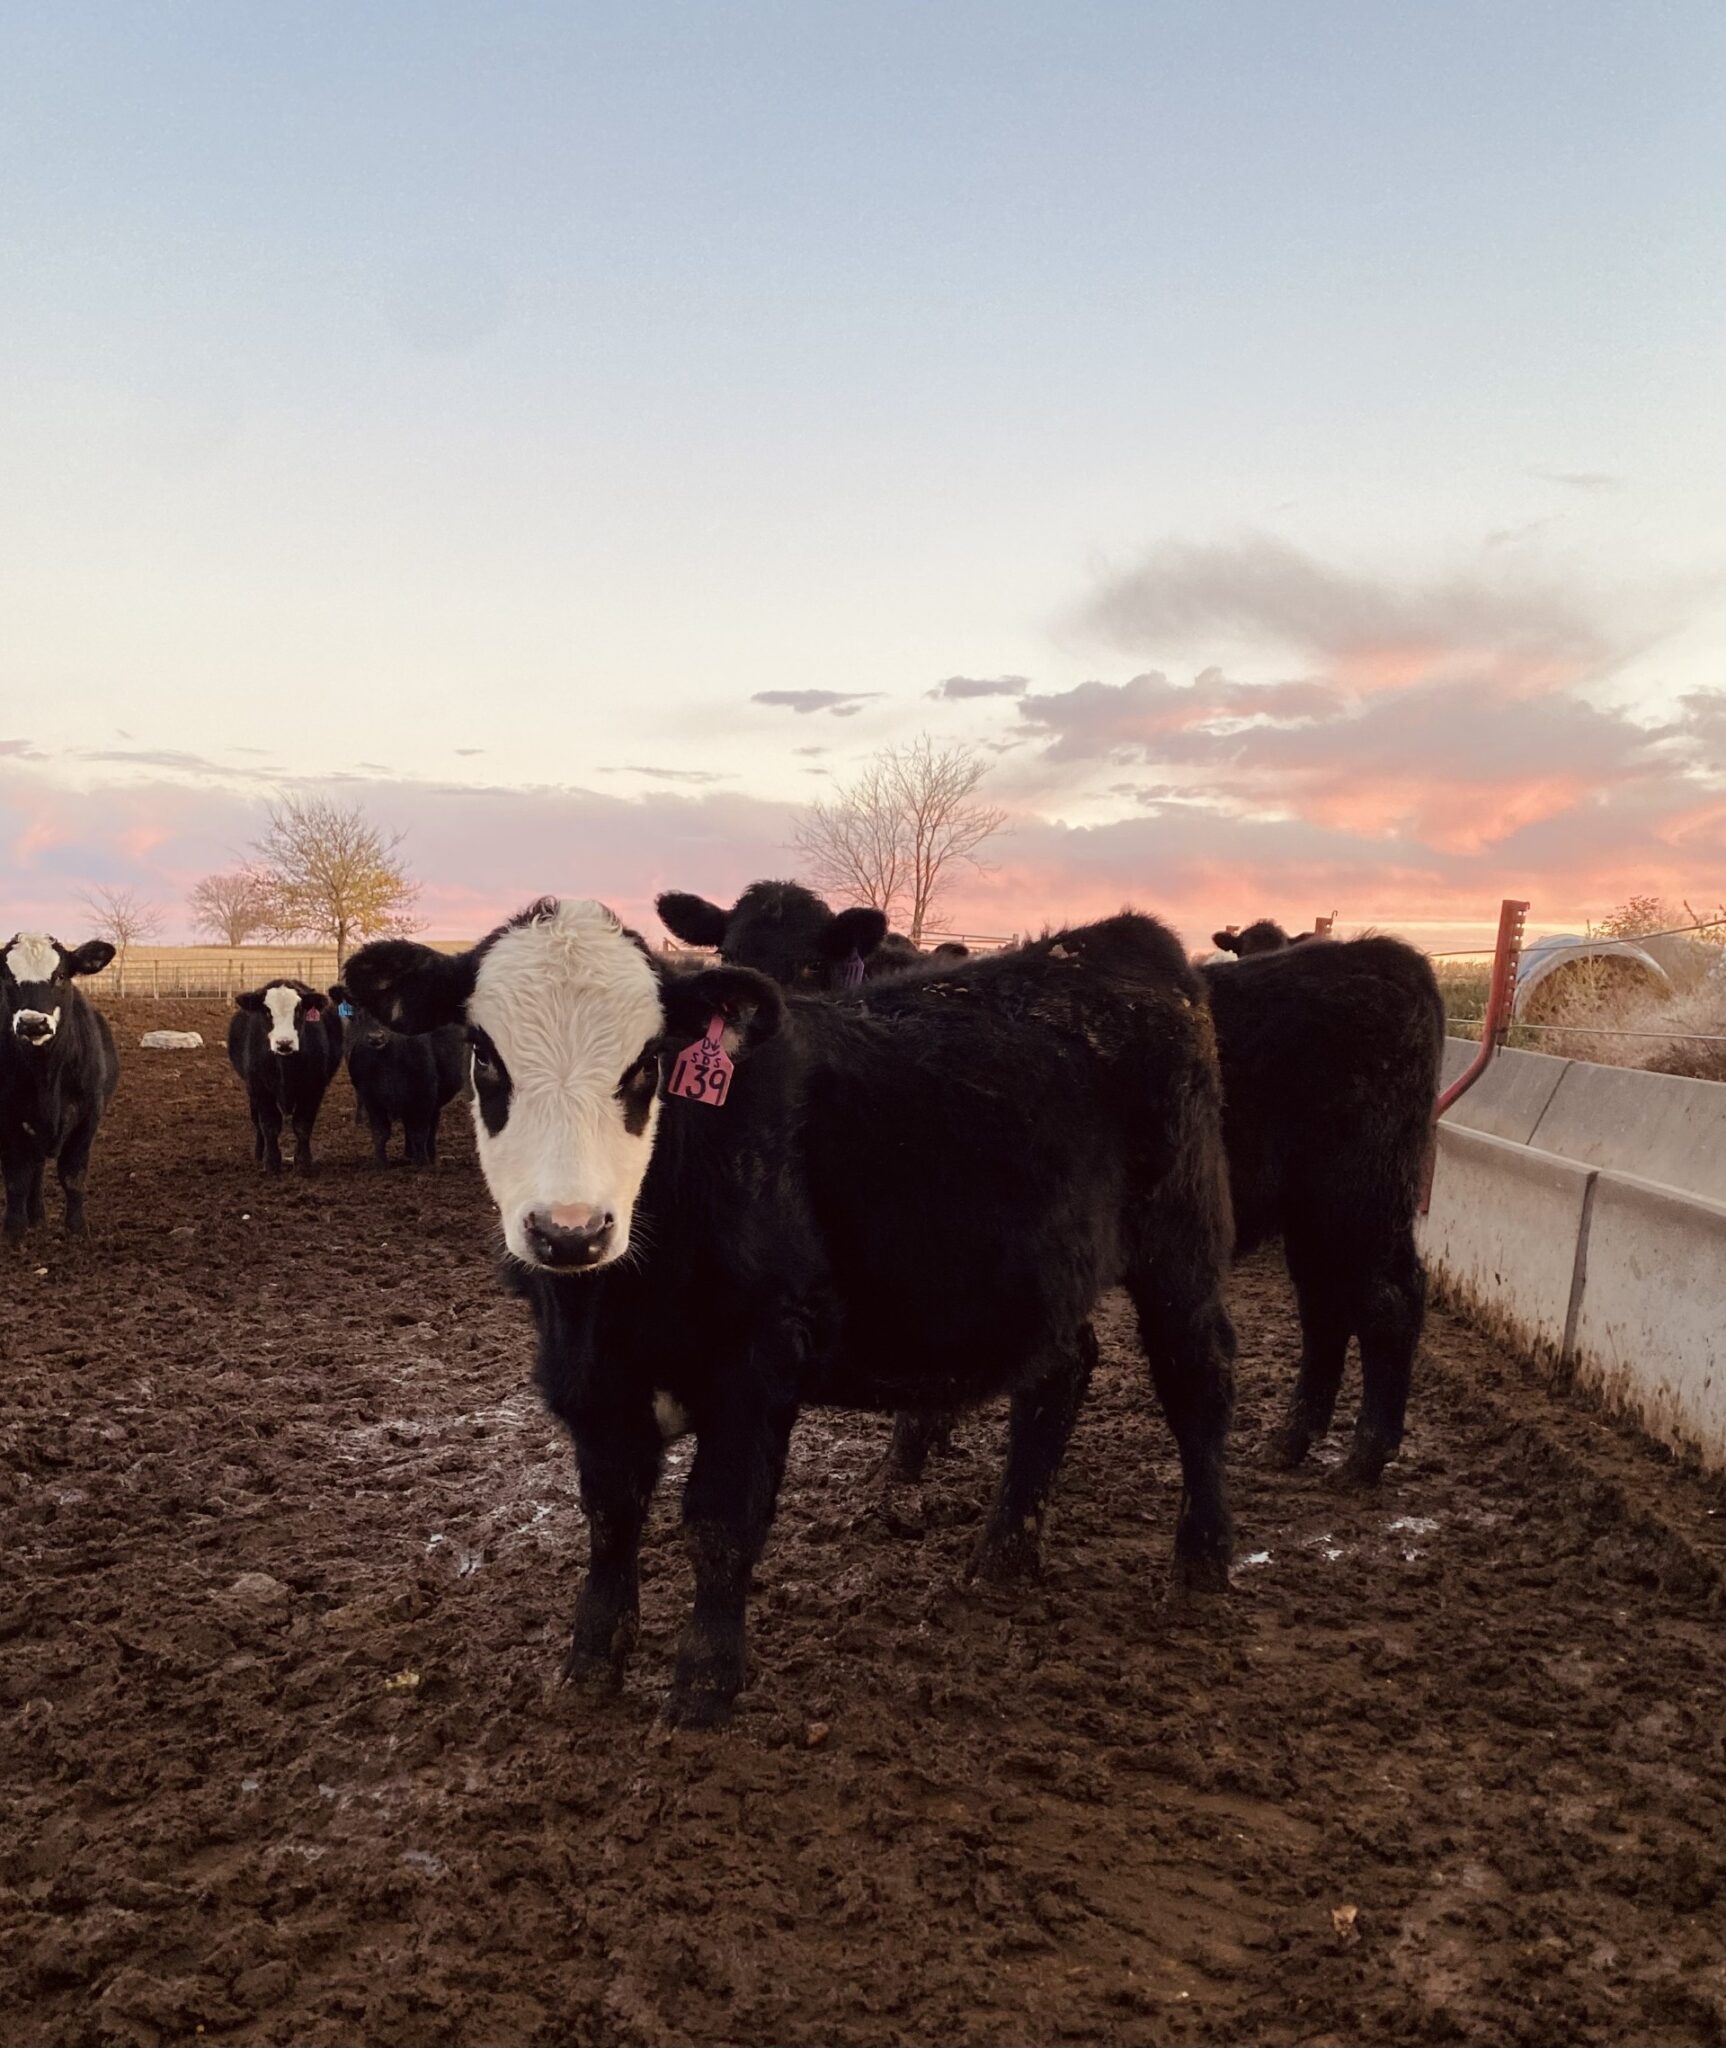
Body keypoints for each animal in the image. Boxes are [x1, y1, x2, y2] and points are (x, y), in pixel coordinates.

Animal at [0, 934, 119, 1241]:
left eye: (61, 975)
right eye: (6, 977)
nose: (33, 1023)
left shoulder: (88, 1117)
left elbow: (72, 1176)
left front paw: (76, 1228)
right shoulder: (8, 1120)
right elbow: (17, 1179)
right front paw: (14, 1231)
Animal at [226, 980, 344, 1174]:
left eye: (299, 1010)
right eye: (267, 1011)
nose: (284, 1043)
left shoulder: (314, 1088)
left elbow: (302, 1125)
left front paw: (303, 1162)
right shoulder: (260, 1088)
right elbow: (269, 1125)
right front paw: (271, 1163)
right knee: (256, 1122)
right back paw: (259, 1154)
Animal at [328, 984, 465, 1166]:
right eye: (360, 1011)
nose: (376, 1037)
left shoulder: (424, 1092)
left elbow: (420, 1132)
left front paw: (422, 1163)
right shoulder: (370, 1097)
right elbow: (381, 1132)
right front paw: (380, 1162)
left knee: (432, 1124)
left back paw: (429, 1155)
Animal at [347, 898, 1236, 1728]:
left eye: (648, 1062)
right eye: (483, 1054)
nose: (569, 1230)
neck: (611, 1299)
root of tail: (1115, 938)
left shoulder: (758, 1361)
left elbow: (720, 1521)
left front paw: (703, 1687)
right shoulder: (593, 1379)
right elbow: (609, 1515)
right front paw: (589, 1667)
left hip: (1179, 1242)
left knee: (1199, 1376)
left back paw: (1204, 1564)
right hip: (1040, 1279)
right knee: (1060, 1374)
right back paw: (1003, 1555)